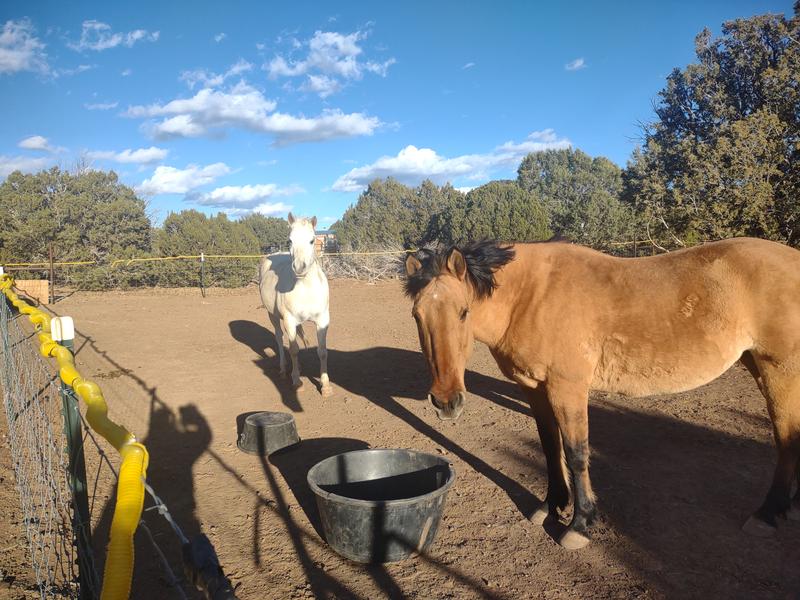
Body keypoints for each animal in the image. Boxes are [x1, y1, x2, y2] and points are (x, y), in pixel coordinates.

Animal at [258, 213, 332, 397]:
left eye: (312, 240)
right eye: (290, 240)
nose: (299, 267)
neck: (306, 288)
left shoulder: (322, 321)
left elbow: (322, 352)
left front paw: (326, 386)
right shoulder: (289, 321)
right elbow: (293, 349)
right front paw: (297, 382)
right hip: (273, 316)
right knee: (279, 338)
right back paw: (285, 369)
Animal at [404, 237, 800, 550]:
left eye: (463, 312)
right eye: (416, 316)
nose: (446, 401)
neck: (531, 297)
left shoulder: (568, 388)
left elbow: (576, 454)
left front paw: (580, 525)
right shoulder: (533, 388)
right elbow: (550, 448)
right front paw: (552, 506)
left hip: (779, 371)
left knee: (786, 440)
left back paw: (767, 514)